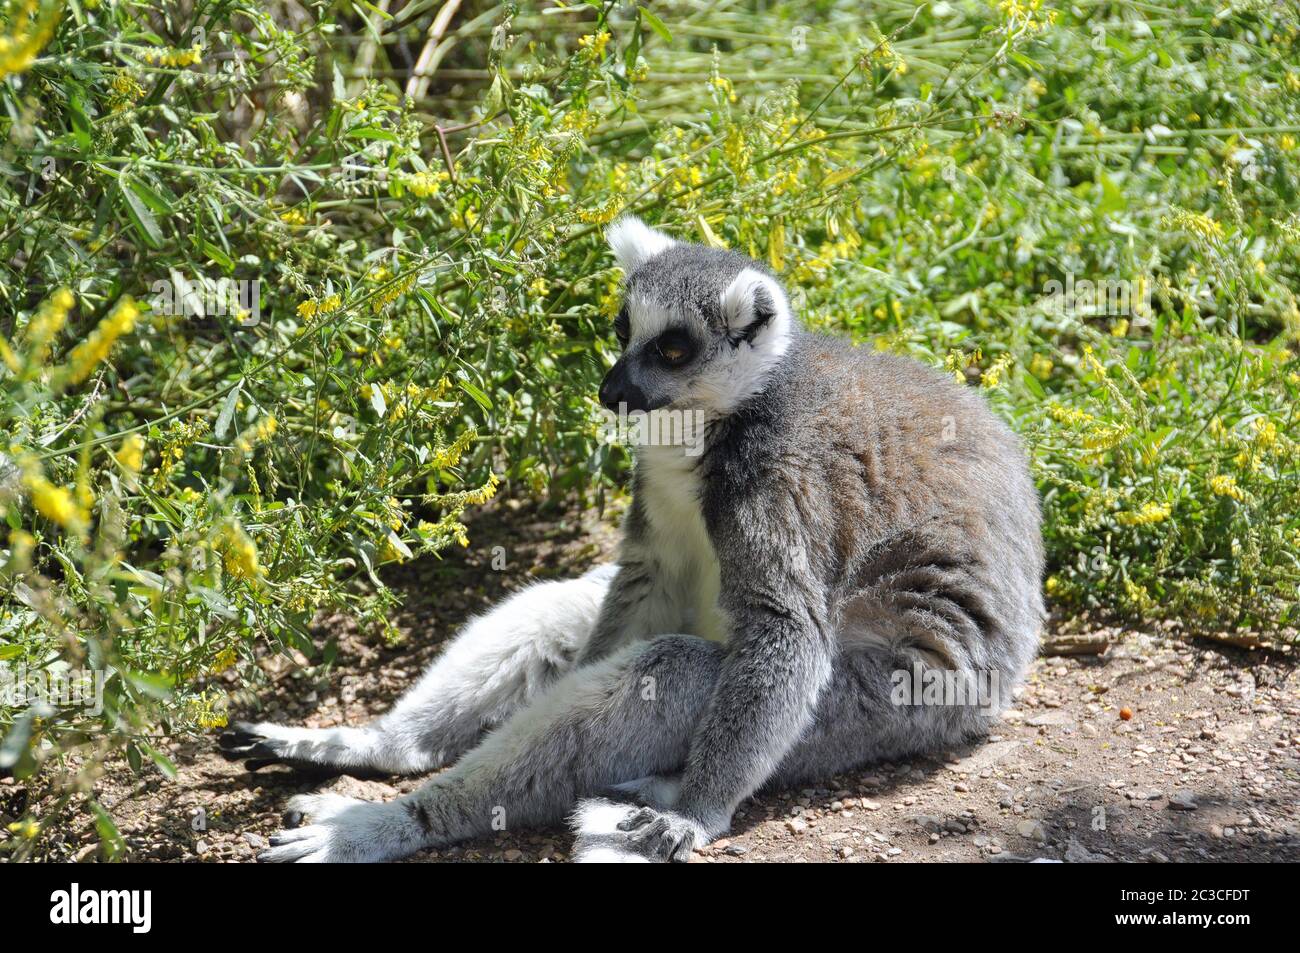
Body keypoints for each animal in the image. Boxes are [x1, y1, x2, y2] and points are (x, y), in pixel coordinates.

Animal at [221, 216, 1045, 863]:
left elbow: (785, 631)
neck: (715, 421)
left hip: (880, 707)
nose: (612, 391)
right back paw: (377, 748)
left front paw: (695, 813)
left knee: (677, 670)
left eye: (674, 349)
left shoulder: (781, 477)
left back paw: (394, 823)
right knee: (564, 611)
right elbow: (644, 575)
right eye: (624, 331)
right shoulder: (659, 505)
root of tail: (988, 697)